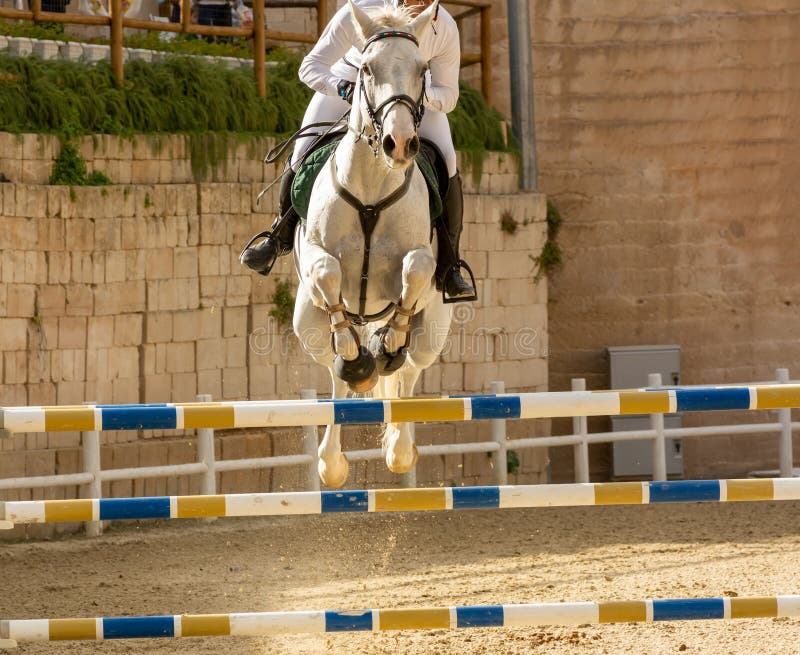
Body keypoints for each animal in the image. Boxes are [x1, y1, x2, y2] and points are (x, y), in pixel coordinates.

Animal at [292, 0, 452, 488]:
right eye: (365, 68)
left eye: (422, 70)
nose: (398, 144)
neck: (371, 187)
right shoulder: (317, 258)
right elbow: (328, 272)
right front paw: (359, 356)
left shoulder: (420, 258)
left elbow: (415, 268)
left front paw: (390, 339)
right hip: (307, 322)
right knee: (335, 372)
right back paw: (333, 458)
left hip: (434, 329)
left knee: (409, 372)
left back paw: (399, 444)